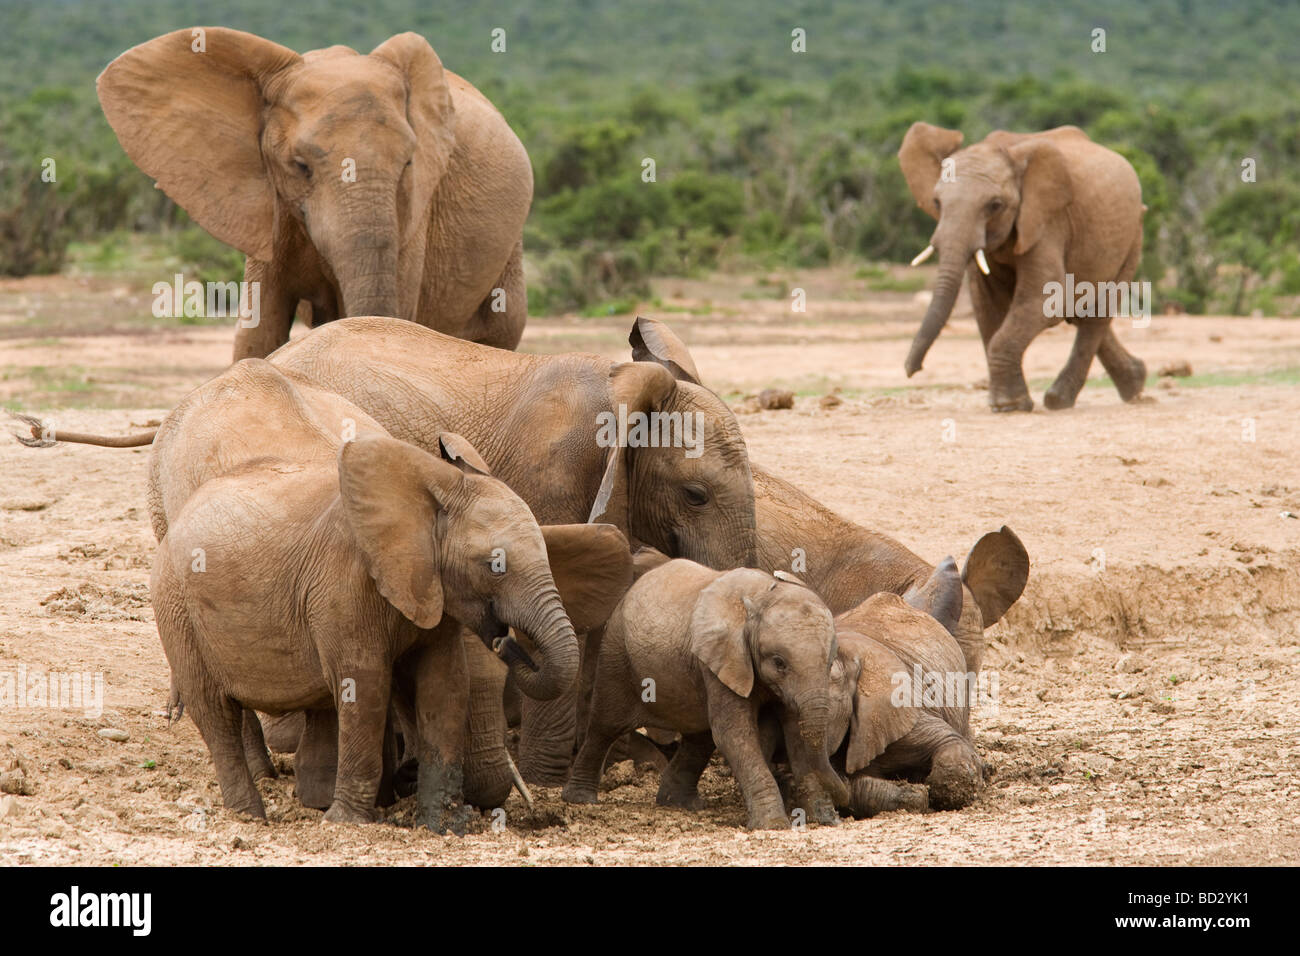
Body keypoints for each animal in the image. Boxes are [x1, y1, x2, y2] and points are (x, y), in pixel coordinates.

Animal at [147, 357, 630, 829]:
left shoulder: (427, 591)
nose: (504, 638)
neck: (426, 493)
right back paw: (250, 815)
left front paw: (441, 823)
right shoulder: (345, 583)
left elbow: (442, 683)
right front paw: (346, 824)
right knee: (213, 708)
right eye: (493, 565)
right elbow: (363, 684)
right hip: (174, 602)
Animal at [562, 560, 850, 830]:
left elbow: (795, 733)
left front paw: (824, 819)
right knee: (605, 725)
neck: (763, 596)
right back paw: (580, 799)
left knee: (699, 738)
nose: (844, 797)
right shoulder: (720, 657)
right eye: (779, 663)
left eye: (829, 662)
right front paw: (774, 825)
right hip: (616, 652)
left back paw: (678, 803)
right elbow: (734, 734)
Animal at [897, 122, 1148, 412]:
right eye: (937, 203)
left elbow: (1046, 298)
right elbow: (987, 303)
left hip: (1133, 235)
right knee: (1082, 309)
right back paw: (1134, 383)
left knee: (1098, 310)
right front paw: (1006, 404)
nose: (912, 369)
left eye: (995, 205)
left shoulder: (1048, 221)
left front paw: (1009, 405)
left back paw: (1059, 400)